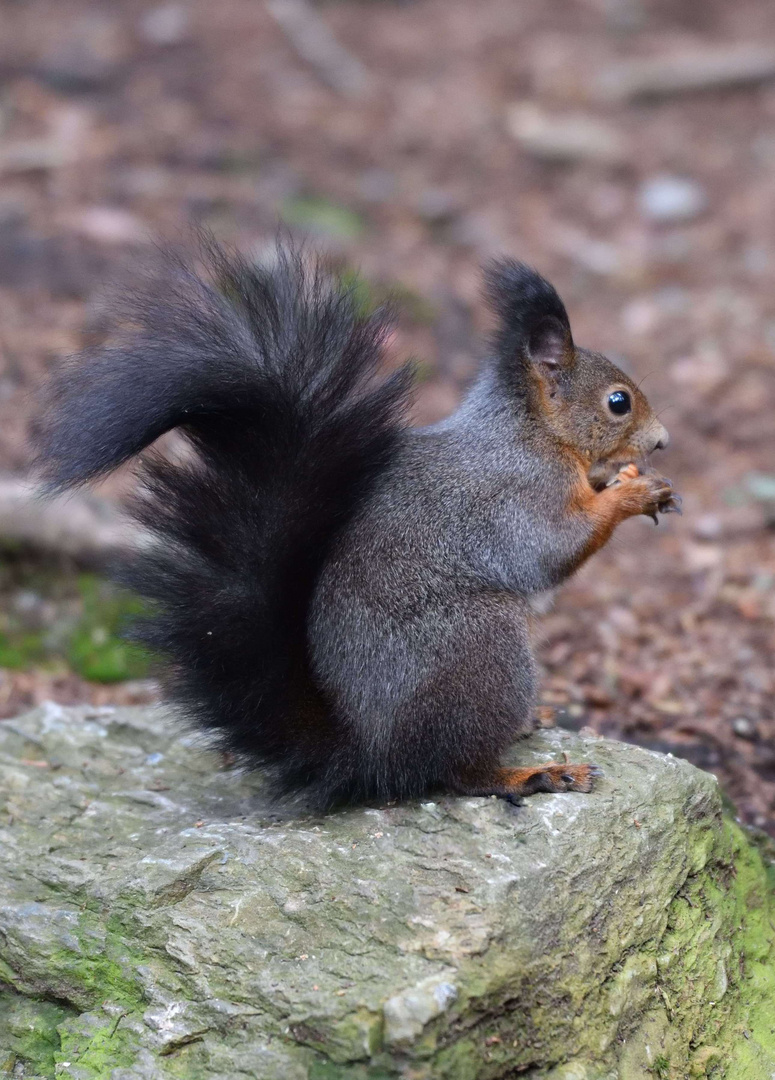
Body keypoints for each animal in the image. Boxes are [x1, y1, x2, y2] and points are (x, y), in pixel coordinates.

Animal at [35, 241, 679, 809]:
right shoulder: (518, 492)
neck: (531, 430)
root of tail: (373, 754)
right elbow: (552, 548)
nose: (662, 441)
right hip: (481, 649)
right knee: (457, 772)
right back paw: (531, 773)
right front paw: (633, 493)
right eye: (618, 402)